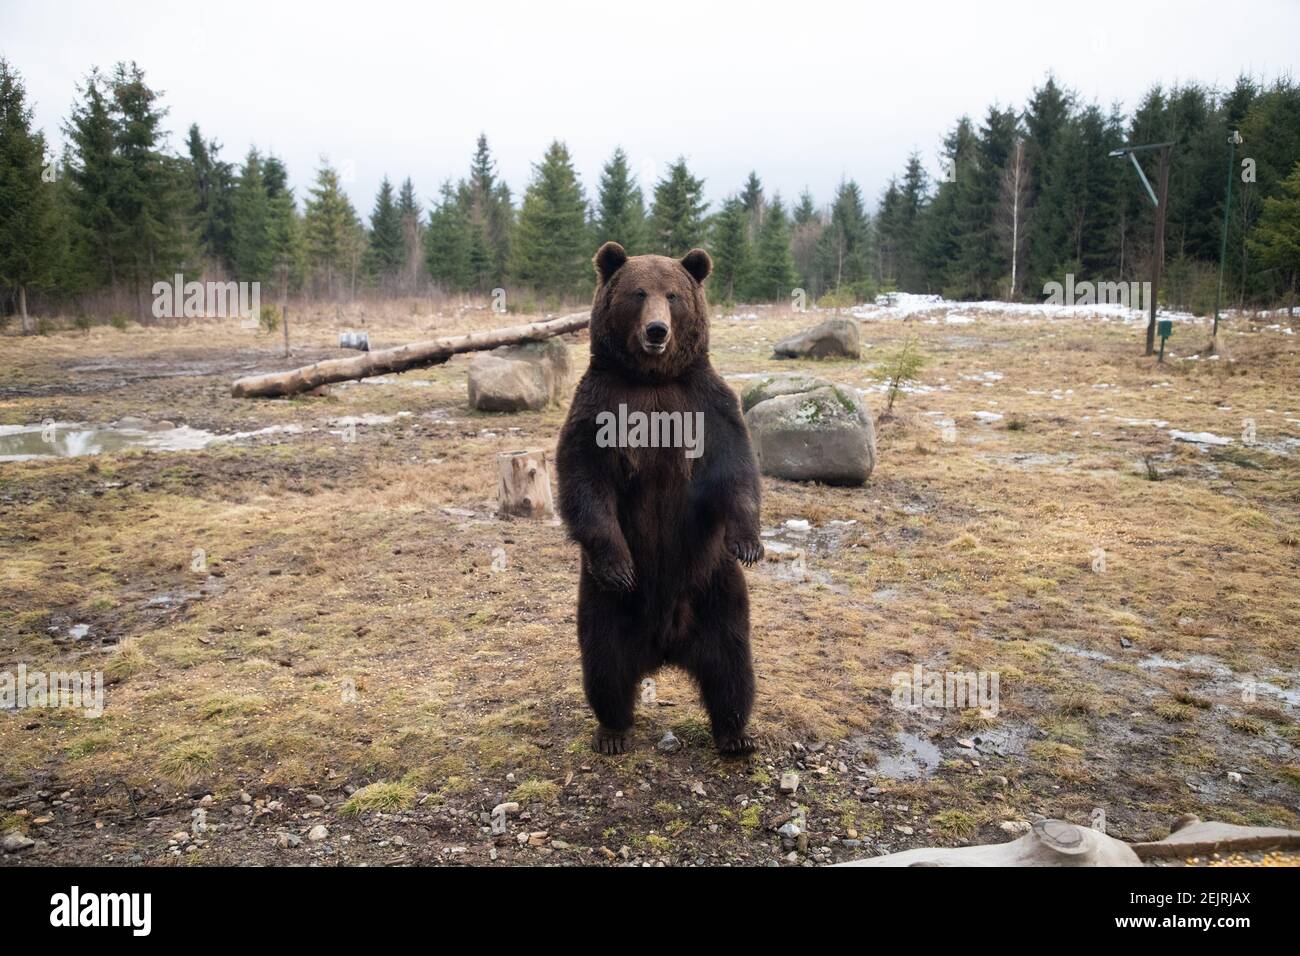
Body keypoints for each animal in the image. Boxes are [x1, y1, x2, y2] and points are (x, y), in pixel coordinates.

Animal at [555, 241, 764, 757]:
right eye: (638, 293)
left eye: (673, 295)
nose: (657, 330)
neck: (652, 380)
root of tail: (666, 647)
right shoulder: (599, 405)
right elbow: (585, 478)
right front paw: (619, 564)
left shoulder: (705, 402)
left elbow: (735, 468)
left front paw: (750, 543)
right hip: (605, 606)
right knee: (605, 666)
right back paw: (612, 732)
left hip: (715, 588)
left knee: (732, 667)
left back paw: (736, 734)